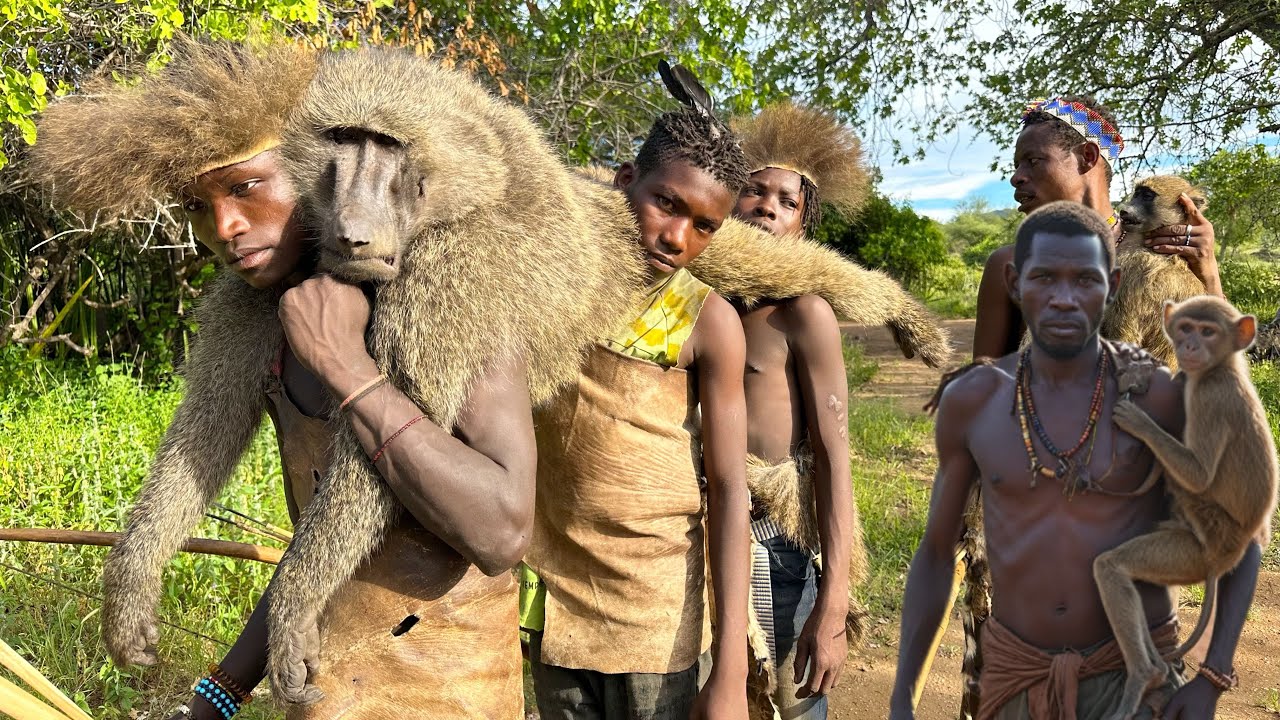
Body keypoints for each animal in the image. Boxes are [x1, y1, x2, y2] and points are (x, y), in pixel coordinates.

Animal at [1095, 295, 1278, 720]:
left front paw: (1140, 421)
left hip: (1199, 544)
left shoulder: (1210, 397)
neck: (1221, 367)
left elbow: (1199, 475)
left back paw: (1143, 675)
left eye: (1207, 331)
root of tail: (1225, 555)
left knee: (1113, 564)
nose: (1190, 346)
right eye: (1186, 328)